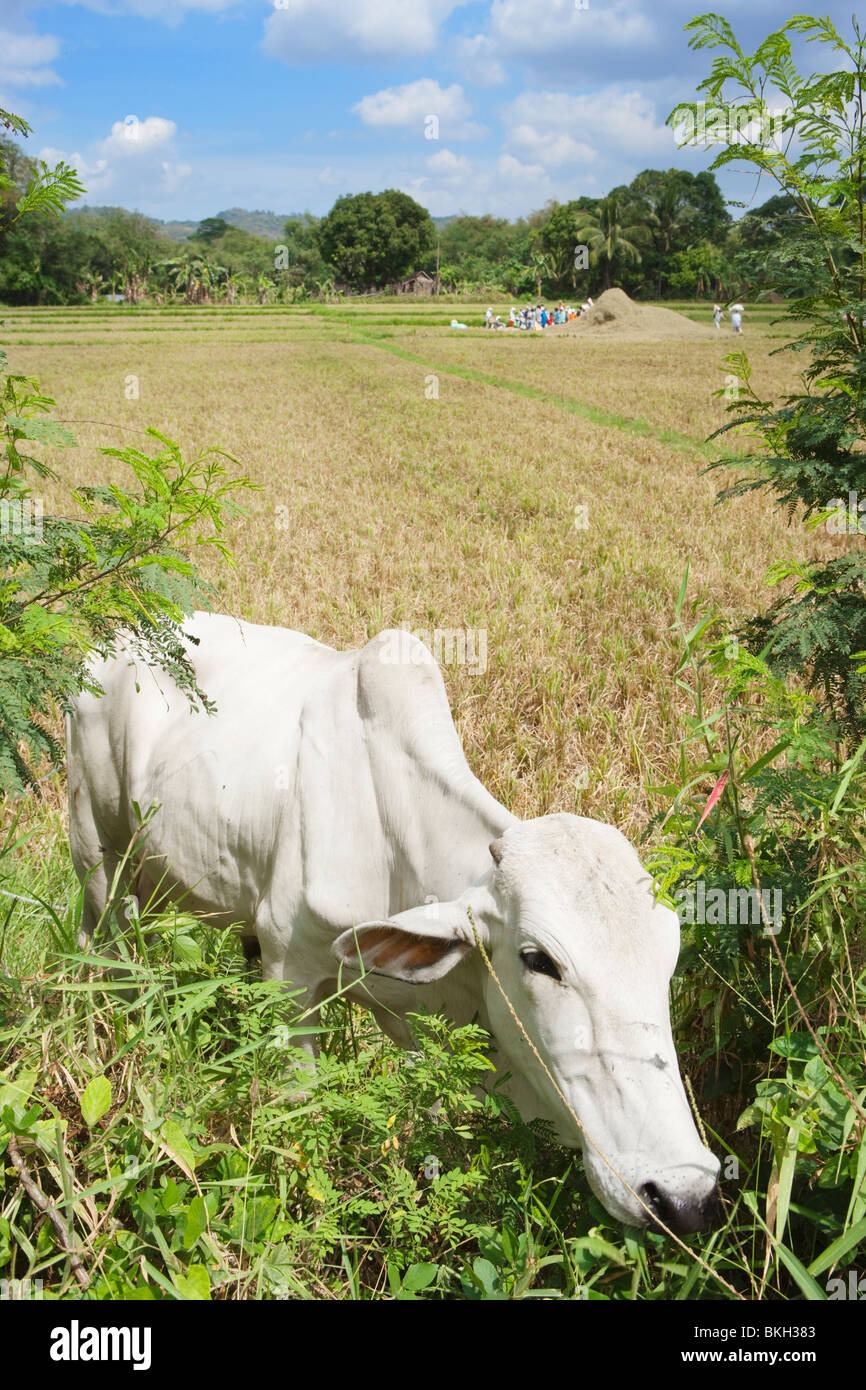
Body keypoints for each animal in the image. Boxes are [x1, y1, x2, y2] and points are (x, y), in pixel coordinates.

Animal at [66, 611, 719, 1233]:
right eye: (539, 960)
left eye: (669, 957)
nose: (682, 1195)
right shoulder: (290, 974)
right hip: (97, 854)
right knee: (98, 949)